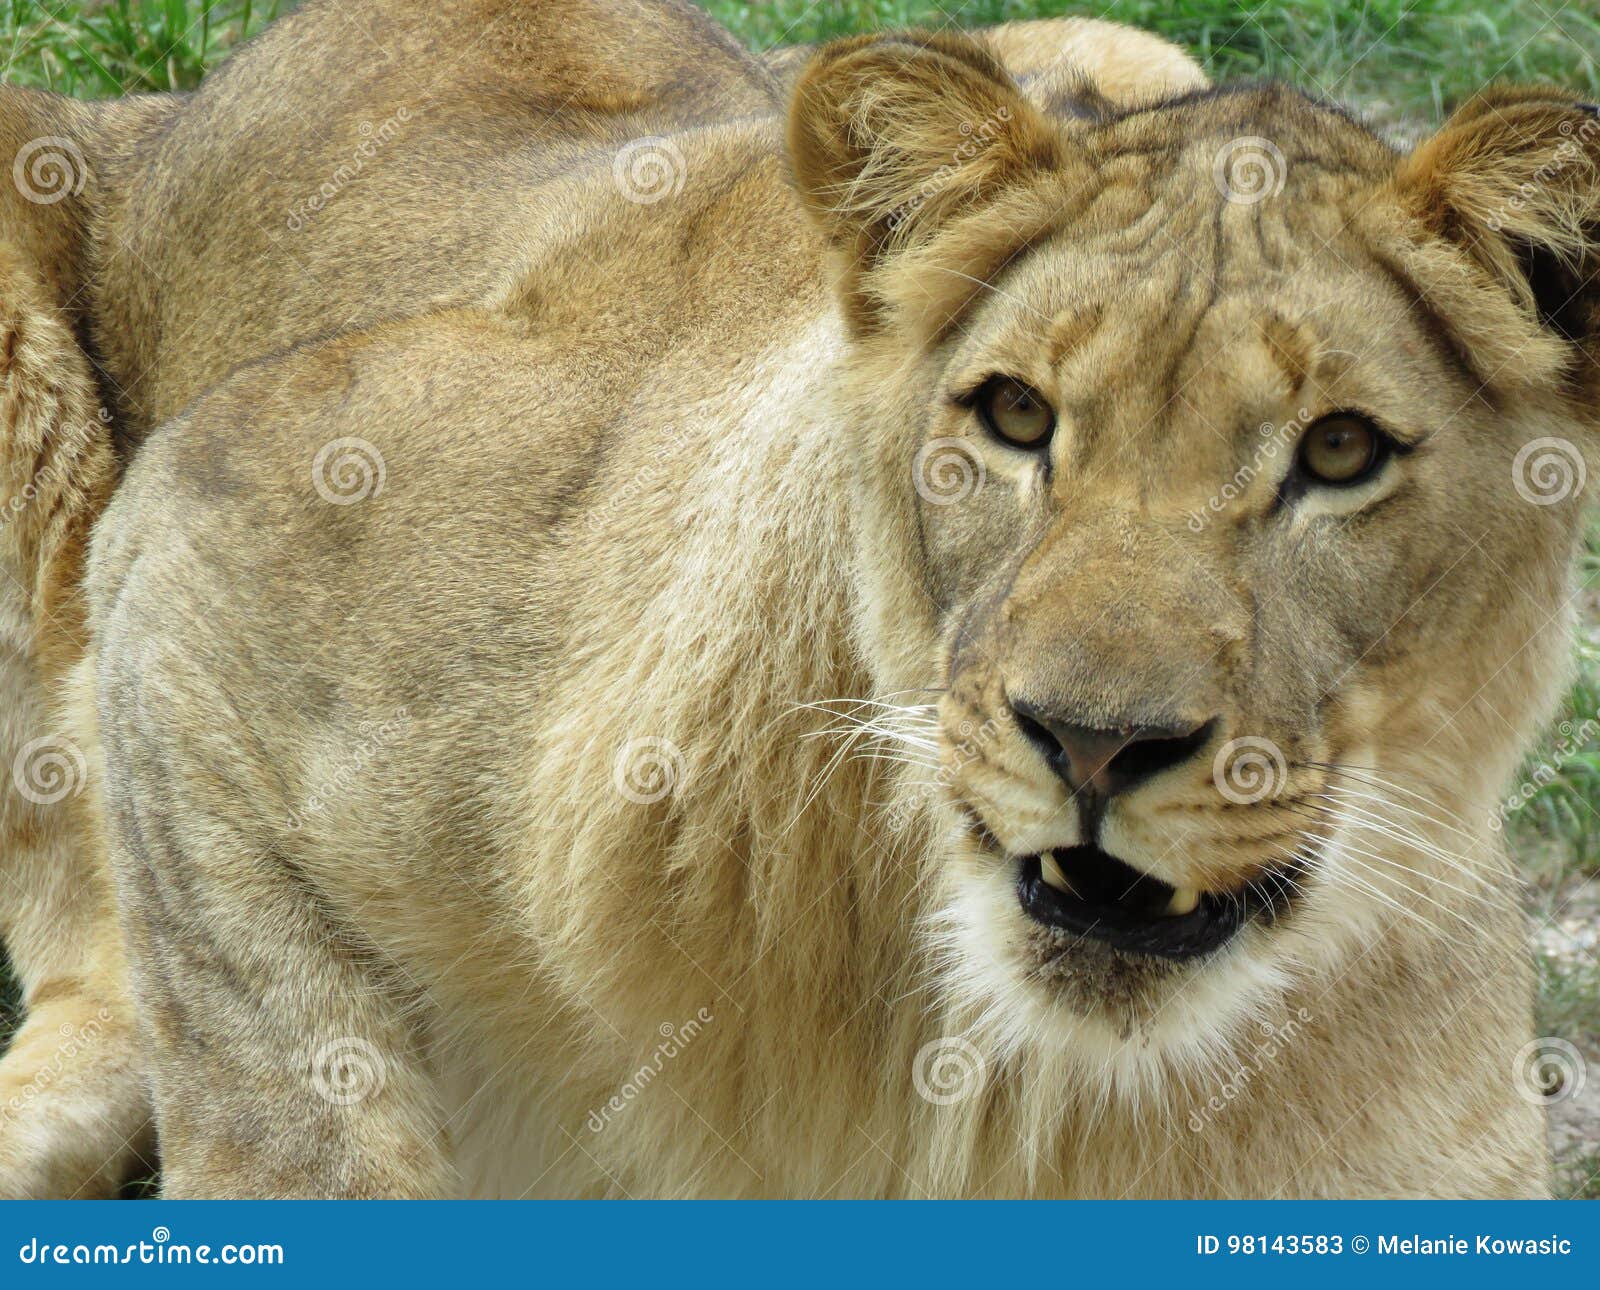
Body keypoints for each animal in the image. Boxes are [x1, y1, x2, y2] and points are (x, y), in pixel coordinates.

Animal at [8, 0, 1596, 1197]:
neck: (1016, 1074)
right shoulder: (219, 511)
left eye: (1338, 452)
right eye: (1015, 417)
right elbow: (289, 1089)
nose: (1093, 744)